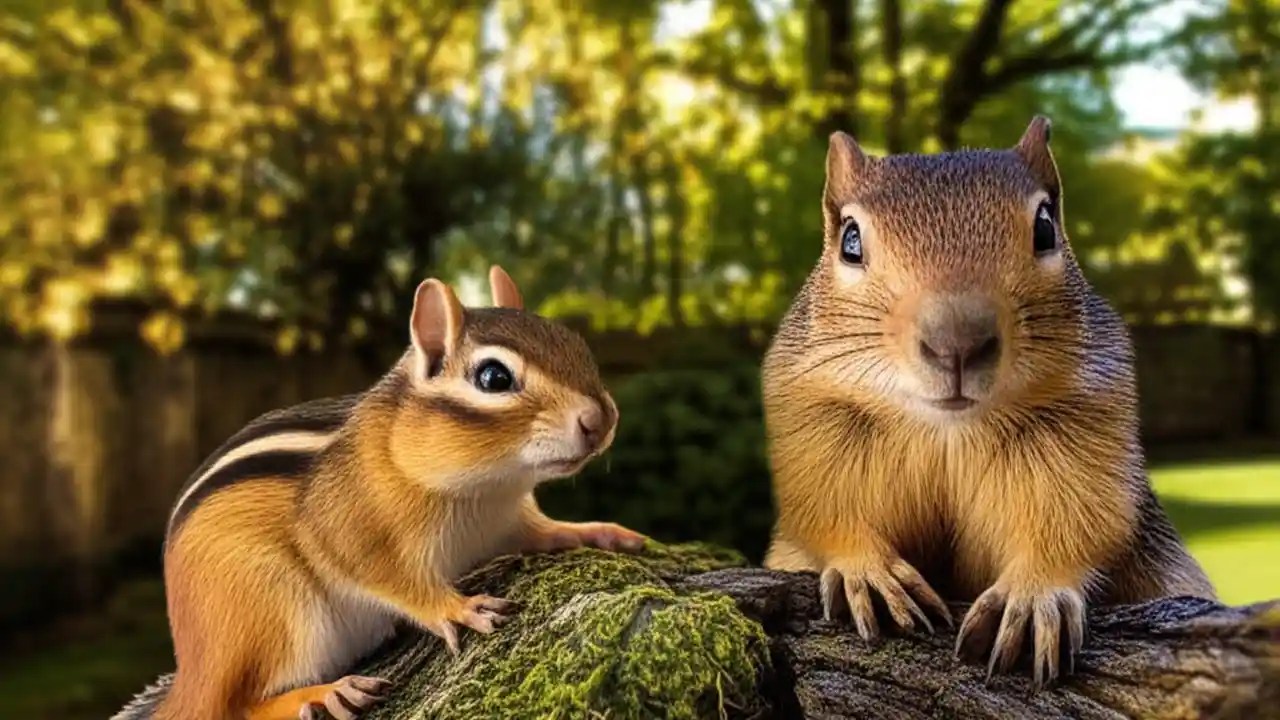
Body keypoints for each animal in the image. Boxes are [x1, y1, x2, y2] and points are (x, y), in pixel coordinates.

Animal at [154, 265, 646, 720]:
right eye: (493, 378)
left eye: (575, 342)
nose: (601, 420)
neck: (486, 490)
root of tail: (193, 671)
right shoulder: (351, 525)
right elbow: (385, 575)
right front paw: (455, 607)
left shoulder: (507, 522)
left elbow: (545, 531)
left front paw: (596, 531)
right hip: (274, 607)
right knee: (237, 704)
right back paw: (322, 693)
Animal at [760, 116, 1215, 689]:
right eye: (850, 240)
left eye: (1045, 227)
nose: (956, 343)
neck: (948, 431)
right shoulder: (815, 420)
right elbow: (821, 508)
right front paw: (869, 570)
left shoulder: (1088, 421)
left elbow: (1085, 519)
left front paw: (1033, 594)